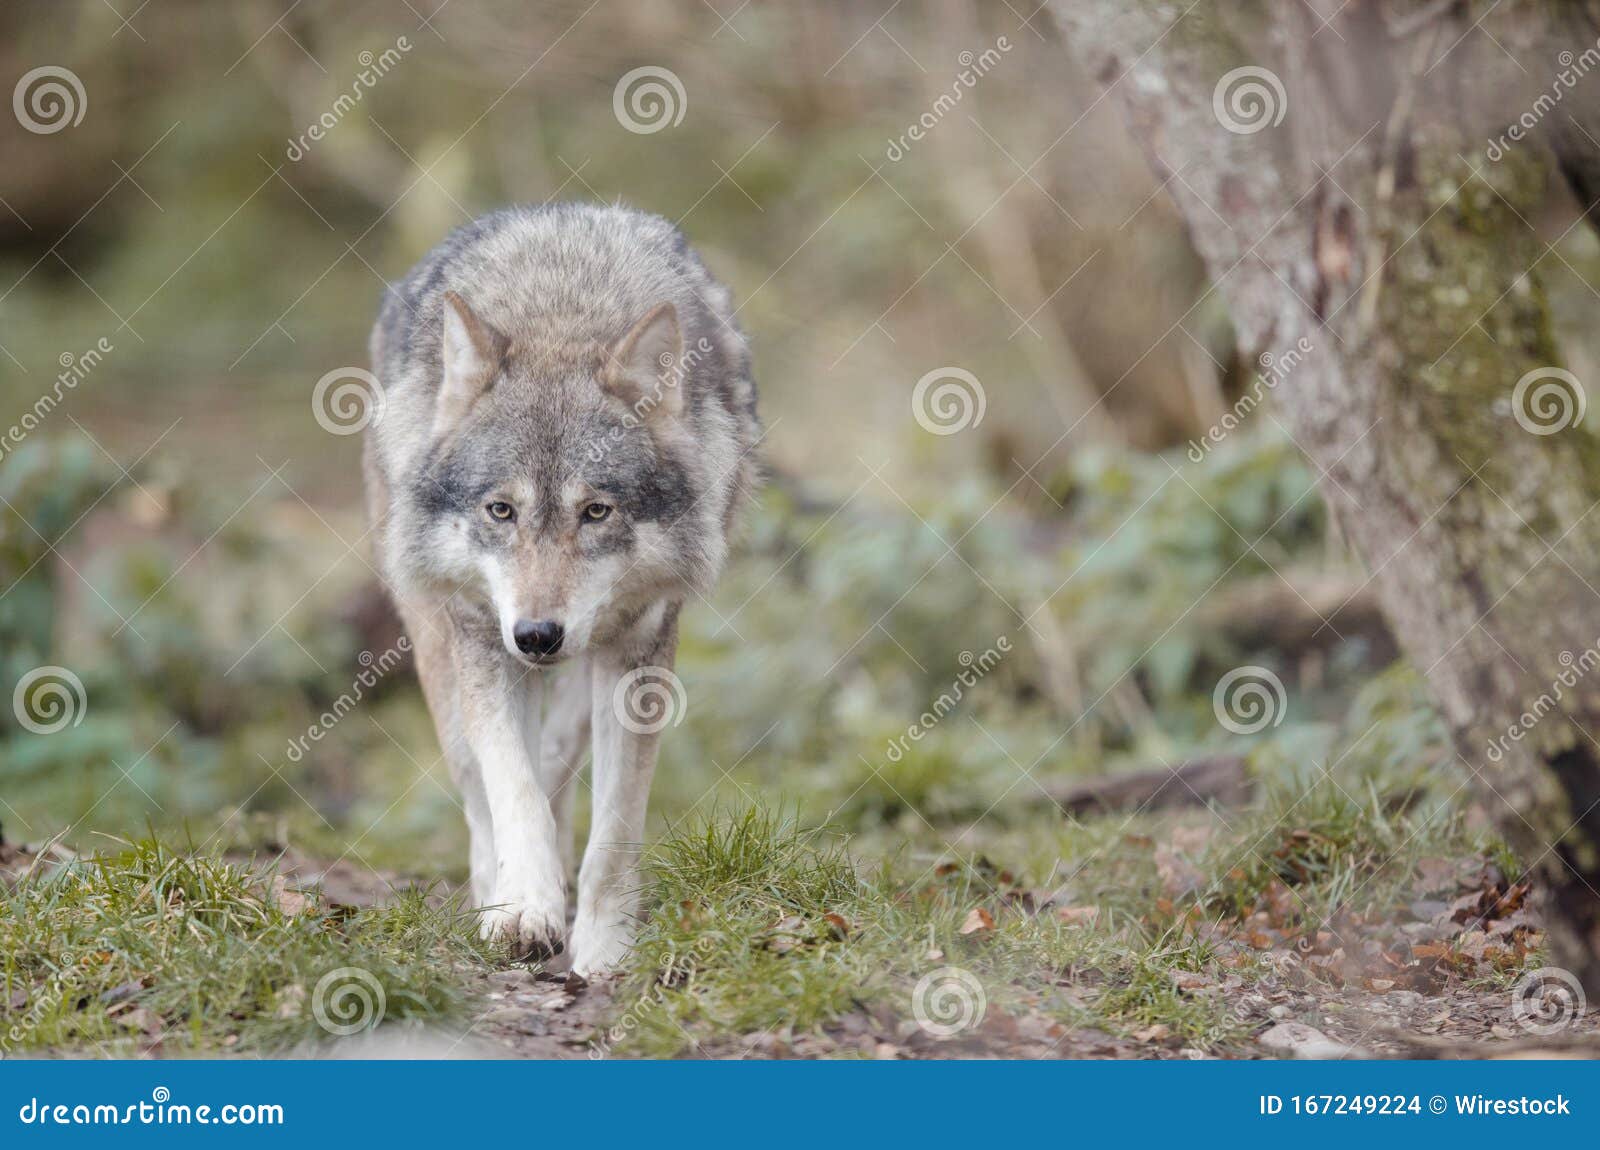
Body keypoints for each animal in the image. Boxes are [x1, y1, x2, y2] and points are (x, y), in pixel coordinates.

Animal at [364, 202, 760, 975]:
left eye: (596, 512)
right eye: (501, 510)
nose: (538, 636)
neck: (562, 314)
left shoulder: (640, 653)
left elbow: (613, 831)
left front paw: (602, 953)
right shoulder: (480, 635)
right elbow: (509, 788)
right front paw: (522, 910)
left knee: (558, 760)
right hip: (436, 640)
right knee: (480, 784)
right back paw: (497, 893)